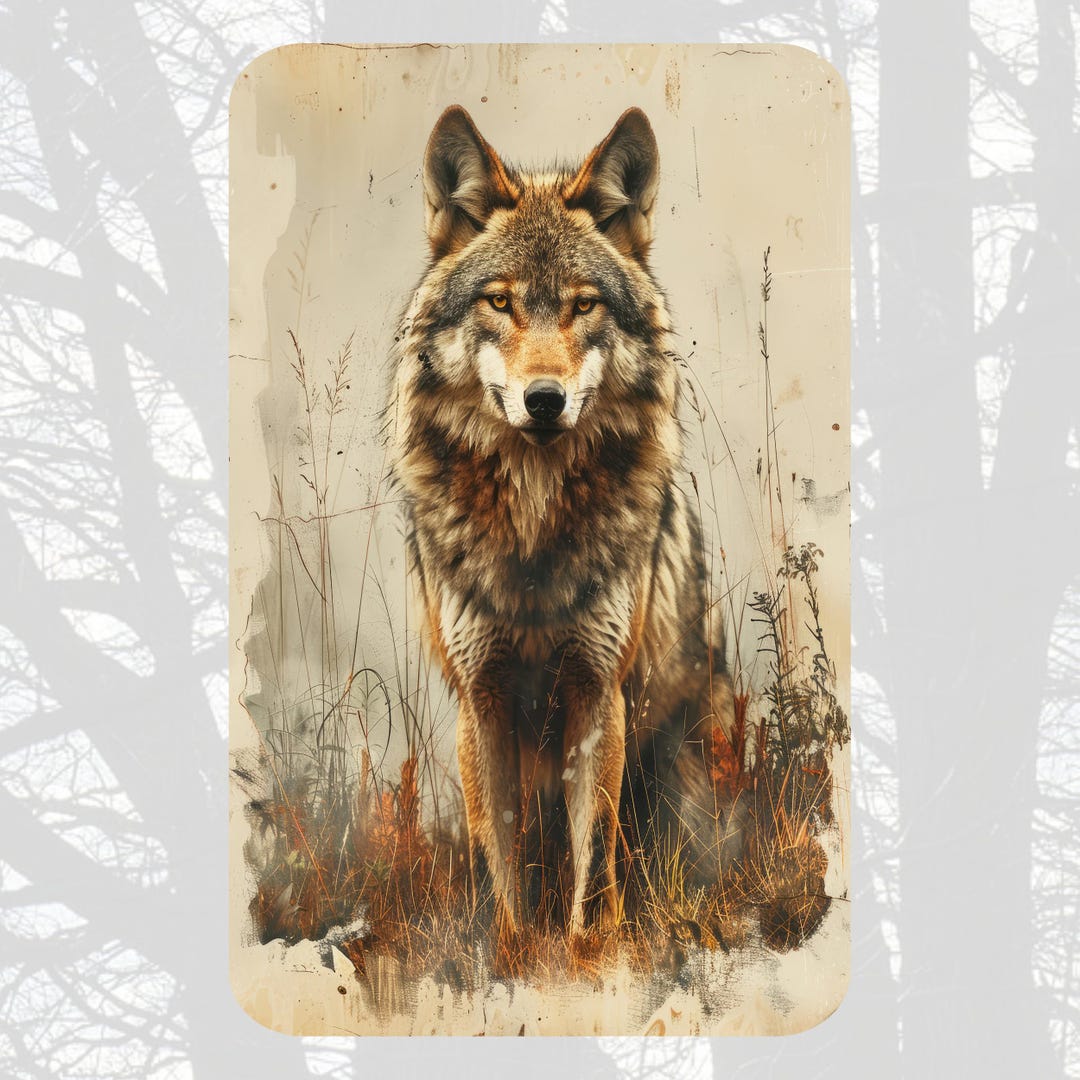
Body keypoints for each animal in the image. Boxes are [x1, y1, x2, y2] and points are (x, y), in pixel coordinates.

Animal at [388, 105, 740, 935]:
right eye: (500, 301)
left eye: (584, 305)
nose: (544, 400)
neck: (533, 530)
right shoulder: (481, 700)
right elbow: (505, 867)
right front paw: (516, 954)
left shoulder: (596, 690)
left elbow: (594, 864)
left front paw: (589, 949)